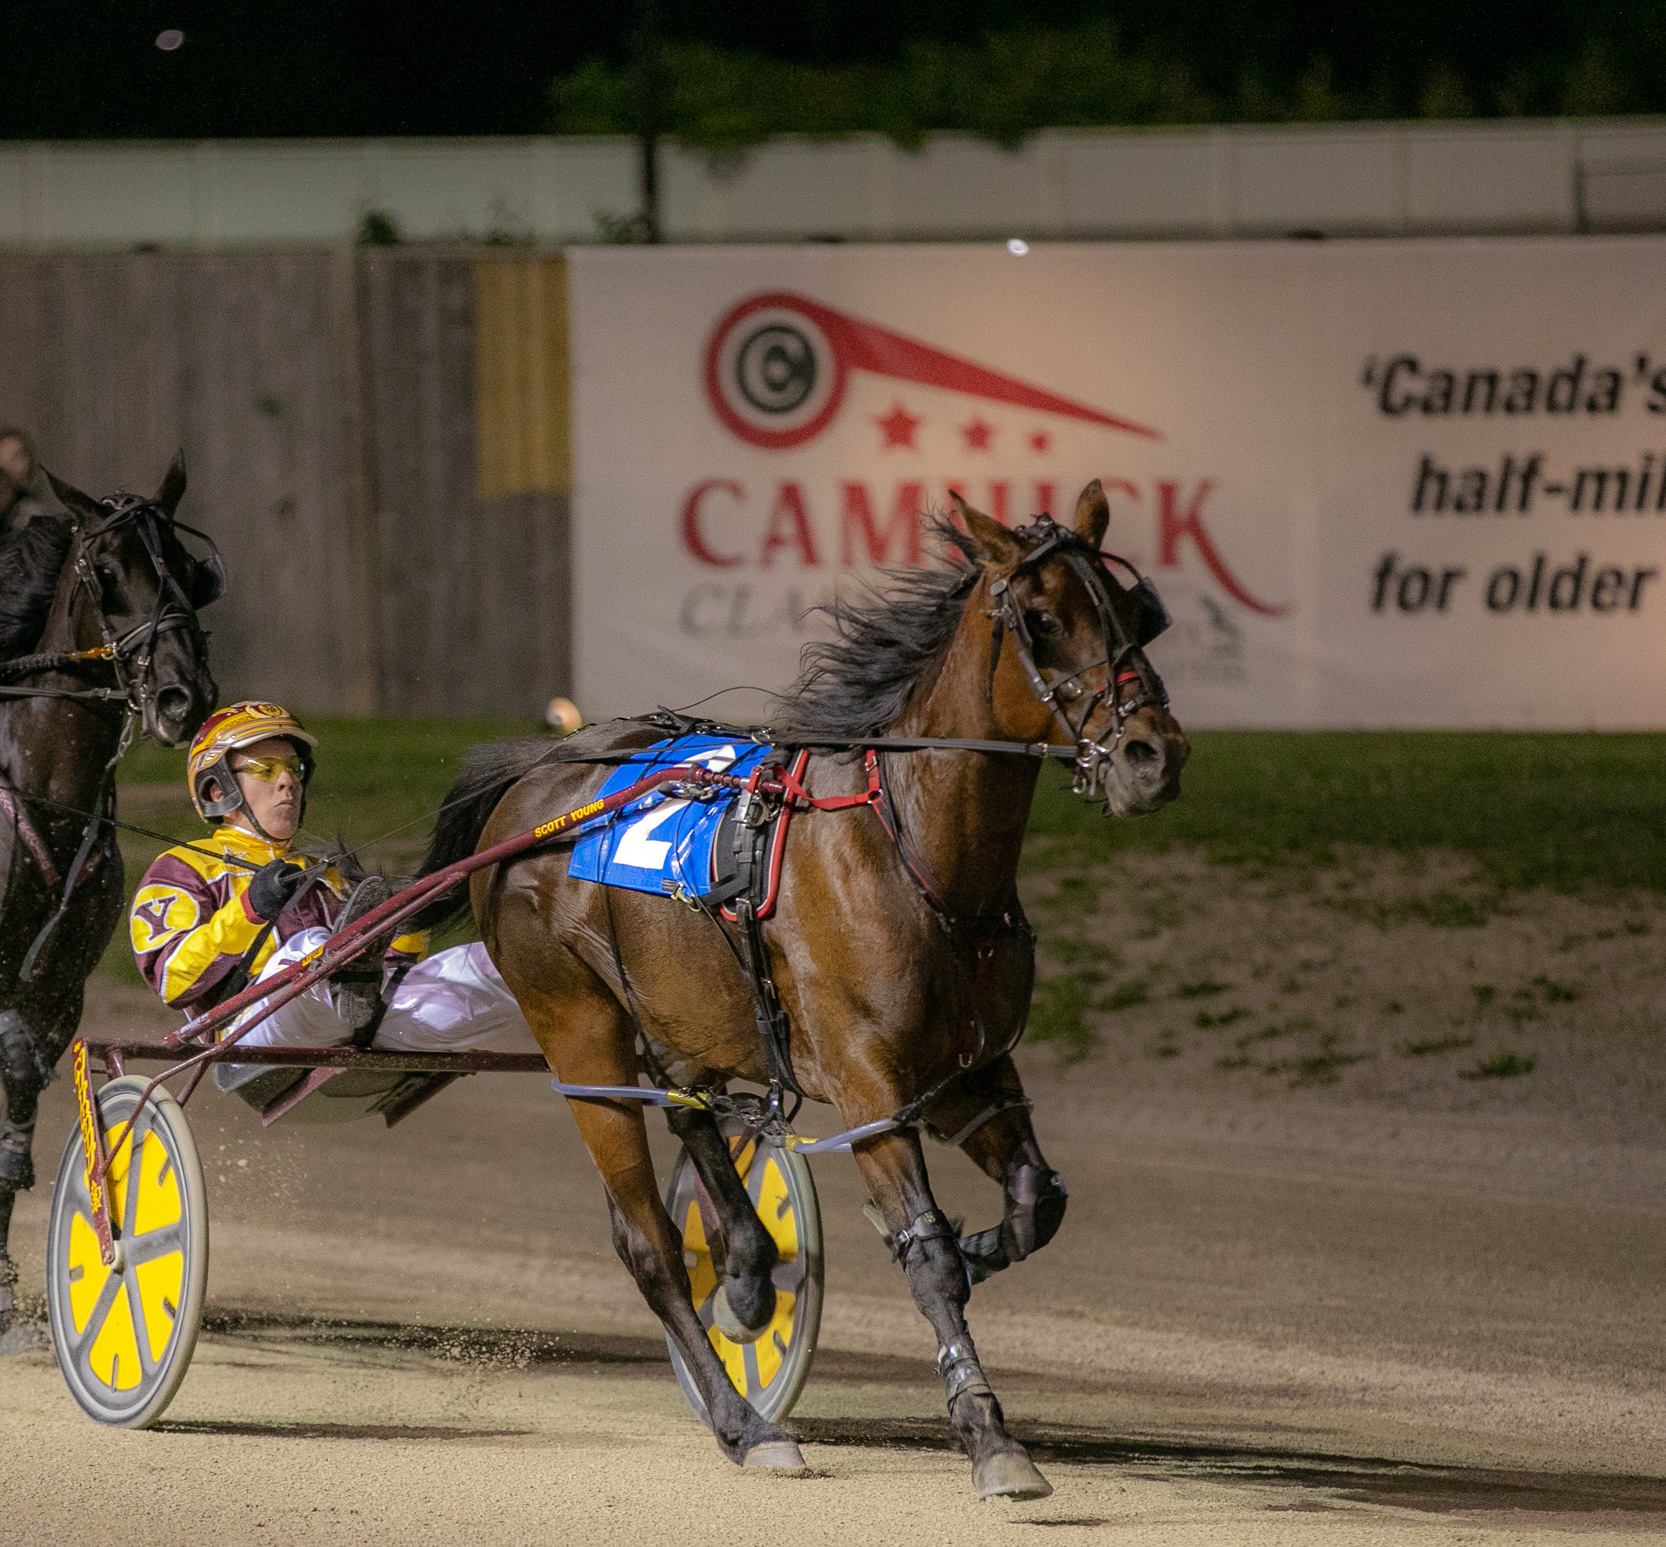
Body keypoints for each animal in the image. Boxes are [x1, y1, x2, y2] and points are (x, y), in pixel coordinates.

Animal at [416, 481, 1189, 1497]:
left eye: (1137, 611)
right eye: (1042, 618)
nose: (1154, 755)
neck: (911, 851)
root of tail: (534, 777)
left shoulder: (970, 1072)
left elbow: (1036, 1201)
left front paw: (982, 1246)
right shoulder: (872, 1090)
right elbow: (926, 1254)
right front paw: (990, 1436)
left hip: (681, 1008)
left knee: (693, 1112)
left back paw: (747, 1271)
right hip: (578, 1029)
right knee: (648, 1241)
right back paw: (745, 1421)